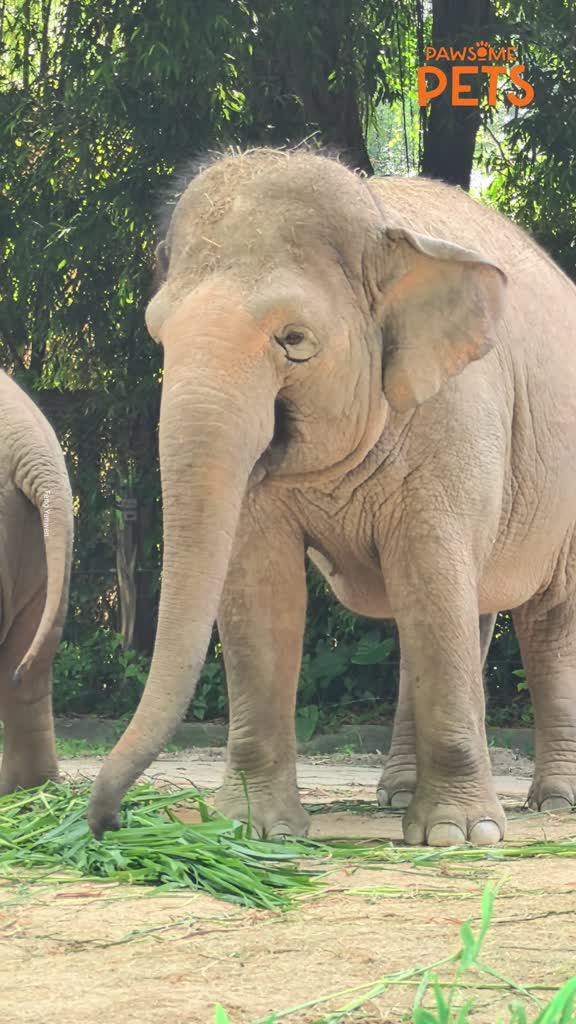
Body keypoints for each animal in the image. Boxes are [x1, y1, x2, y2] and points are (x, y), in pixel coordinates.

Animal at [89, 146, 576, 847]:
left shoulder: (457, 415)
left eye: (294, 340)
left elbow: (432, 575)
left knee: (544, 616)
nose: (108, 821)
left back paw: (553, 802)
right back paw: (394, 794)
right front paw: (255, 830)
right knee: (455, 610)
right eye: (158, 334)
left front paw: (458, 836)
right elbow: (262, 589)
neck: (382, 226)